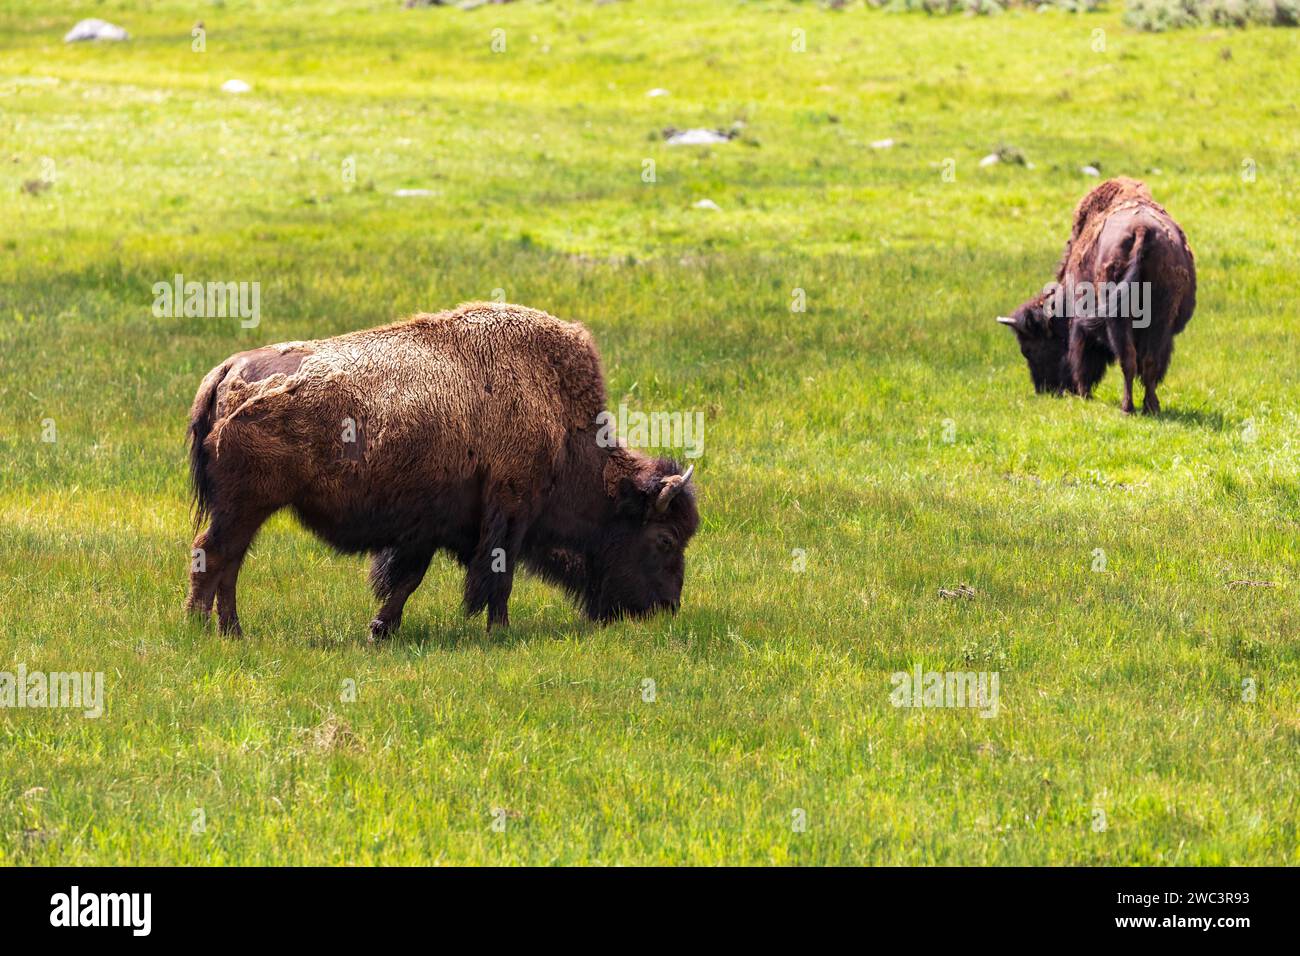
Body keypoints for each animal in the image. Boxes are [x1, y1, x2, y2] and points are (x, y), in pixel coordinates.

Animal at [184, 303, 699, 639]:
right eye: (665, 539)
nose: (667, 608)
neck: (560, 423)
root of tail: (227, 370)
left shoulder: (429, 525)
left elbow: (407, 579)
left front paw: (381, 629)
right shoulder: (509, 511)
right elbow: (496, 576)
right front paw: (499, 631)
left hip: (248, 509)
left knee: (228, 561)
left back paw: (230, 631)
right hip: (246, 505)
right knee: (213, 554)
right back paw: (202, 628)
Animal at [998, 177, 1196, 414]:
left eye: (1027, 349)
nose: (1045, 390)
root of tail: (1142, 229)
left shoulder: (1079, 327)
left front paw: (1084, 393)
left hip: (1118, 319)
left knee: (1127, 359)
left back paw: (1126, 407)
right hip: (1160, 317)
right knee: (1148, 362)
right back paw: (1150, 407)